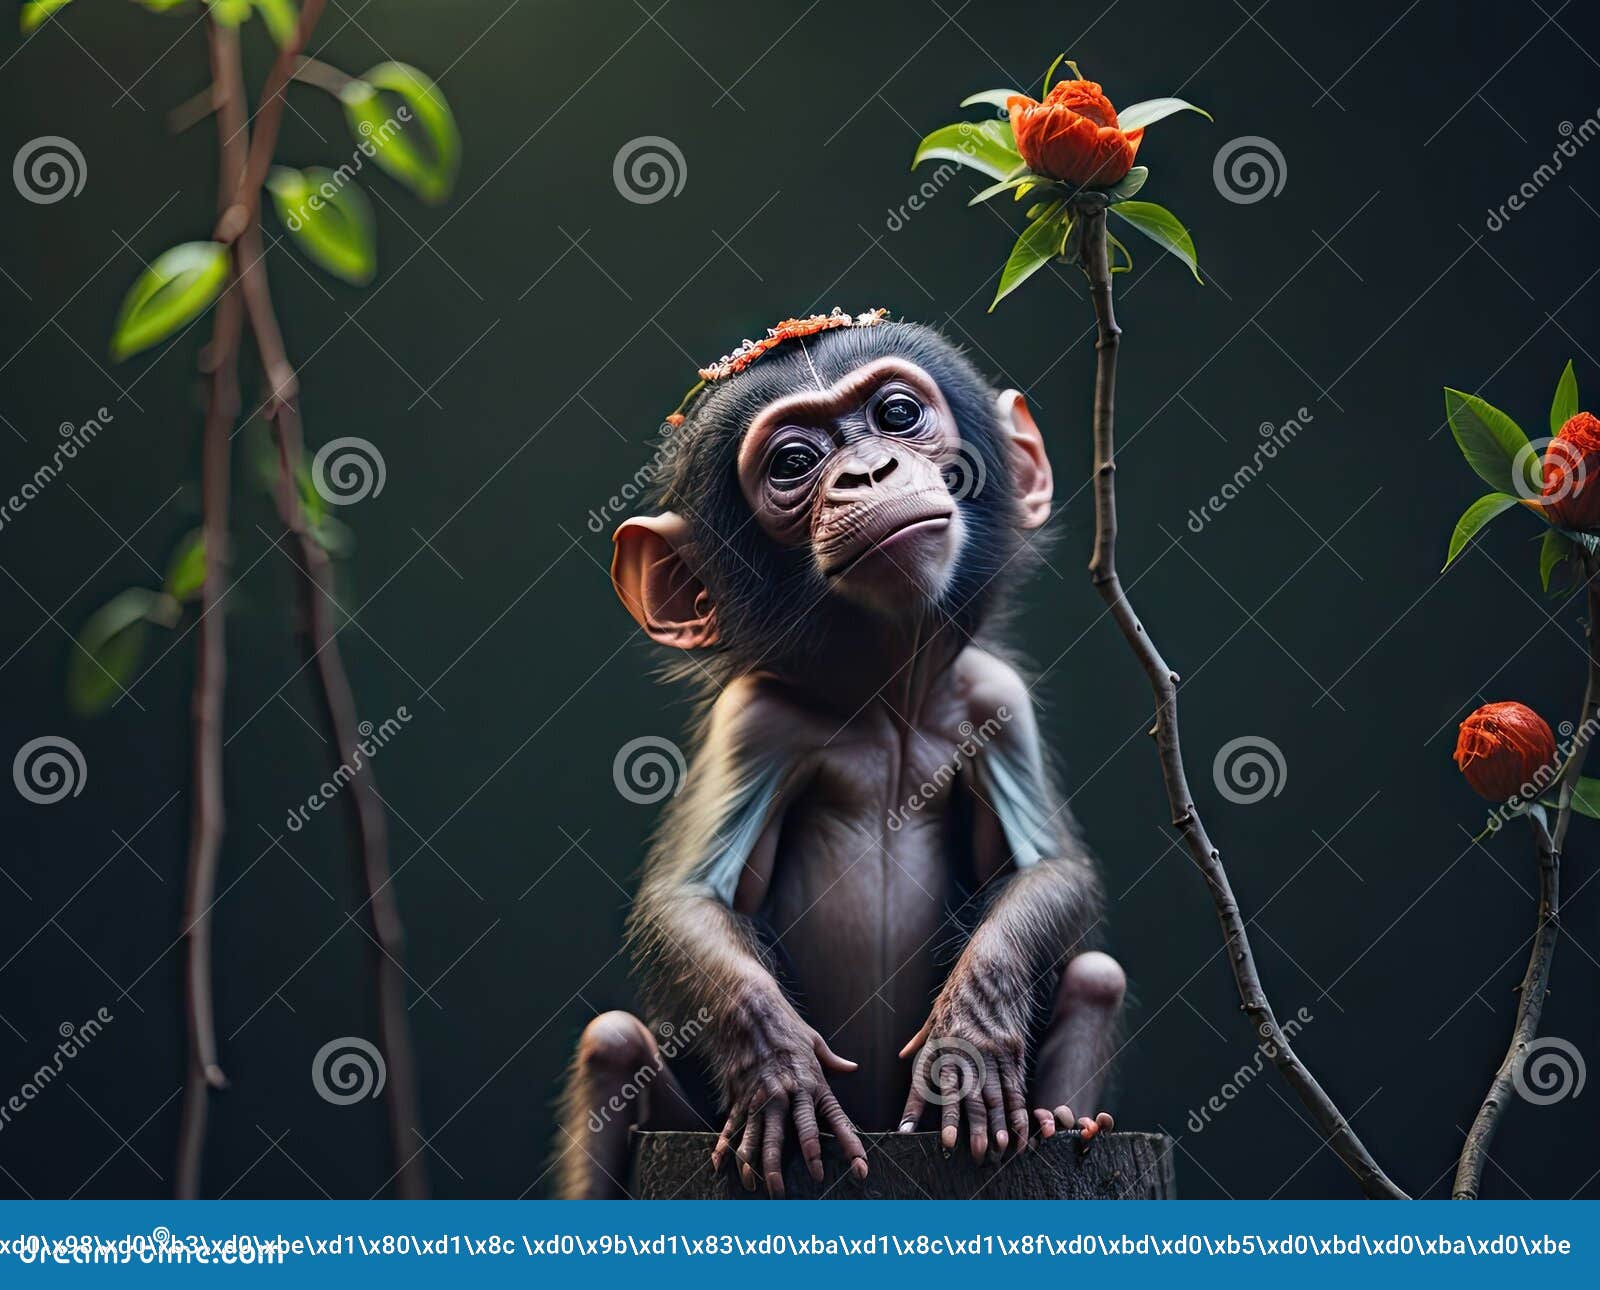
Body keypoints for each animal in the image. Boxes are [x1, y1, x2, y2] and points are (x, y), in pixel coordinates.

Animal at [555, 312, 1124, 1199]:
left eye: (897, 416)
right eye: (793, 463)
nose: (871, 471)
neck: (886, 706)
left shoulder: (996, 699)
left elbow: (1051, 868)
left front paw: (973, 1026)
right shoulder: (753, 720)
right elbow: (684, 899)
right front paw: (777, 1064)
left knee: (1097, 976)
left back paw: (1063, 1120)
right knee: (612, 1041)